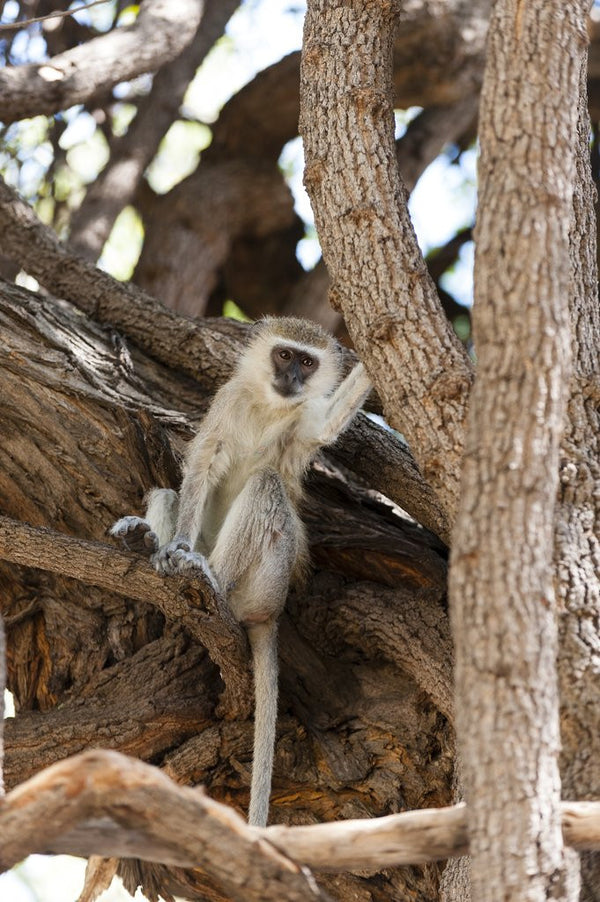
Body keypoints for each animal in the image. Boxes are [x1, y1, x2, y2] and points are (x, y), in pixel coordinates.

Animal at [111, 316, 372, 827]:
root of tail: (270, 611)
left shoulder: (303, 419)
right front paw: (174, 544)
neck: (270, 406)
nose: (292, 378)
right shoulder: (228, 400)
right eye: (284, 356)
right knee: (169, 495)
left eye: (308, 362)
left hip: (265, 581)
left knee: (266, 486)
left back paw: (210, 577)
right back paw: (153, 545)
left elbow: (327, 426)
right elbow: (200, 467)